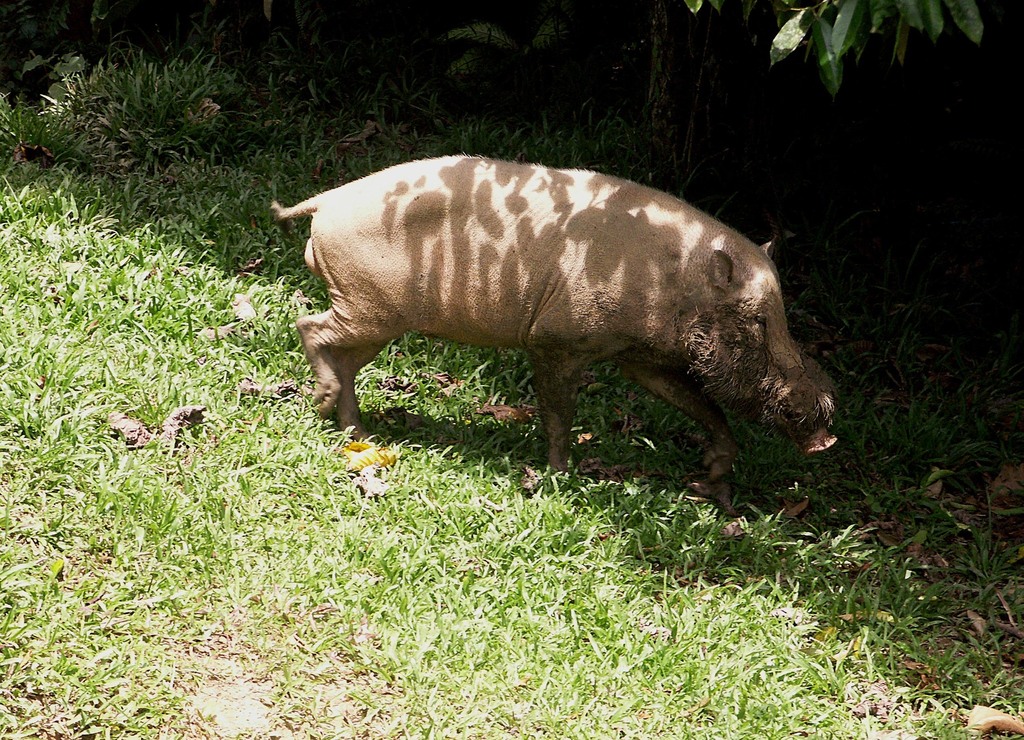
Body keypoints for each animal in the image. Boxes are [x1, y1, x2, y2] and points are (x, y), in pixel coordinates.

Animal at [272, 156, 836, 504]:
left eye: (781, 318)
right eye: (759, 321)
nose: (826, 438)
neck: (674, 287)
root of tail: (324, 200)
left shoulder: (640, 359)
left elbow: (700, 403)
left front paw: (712, 483)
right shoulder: (556, 339)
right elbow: (560, 414)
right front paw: (561, 476)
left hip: (376, 316)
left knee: (342, 357)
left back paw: (357, 434)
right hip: (369, 305)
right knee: (310, 327)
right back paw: (326, 410)